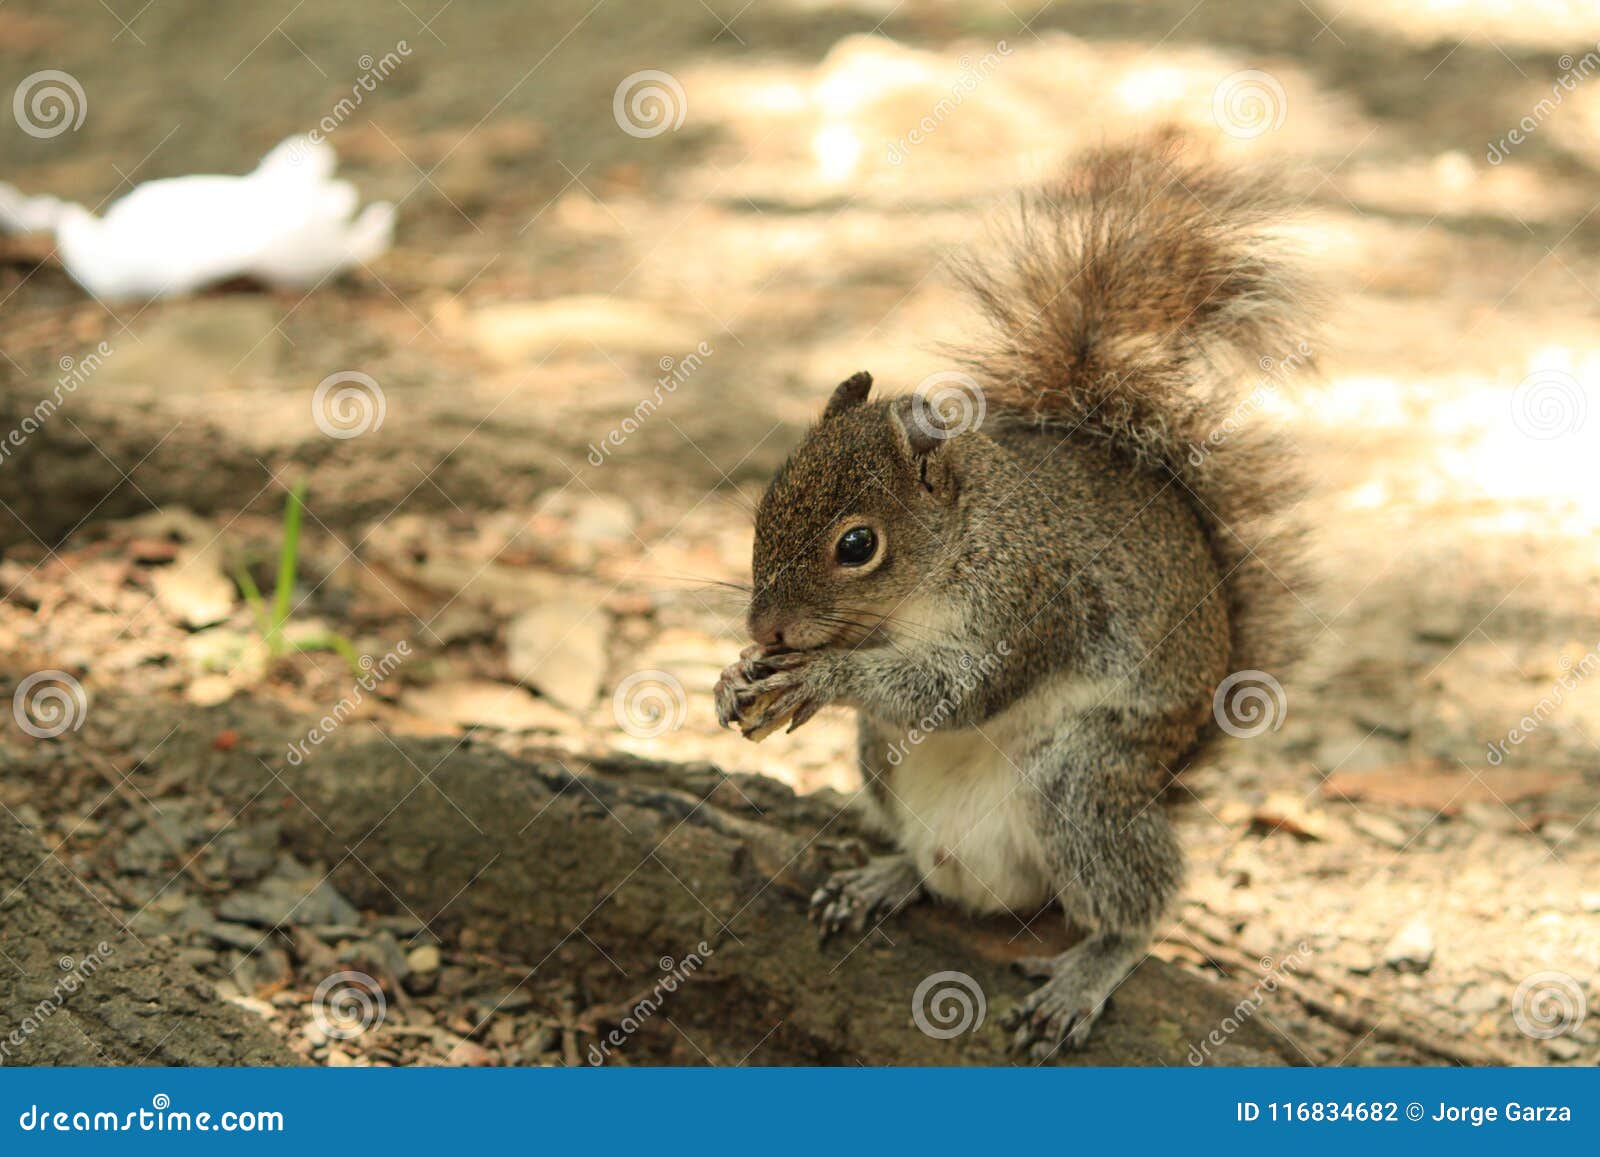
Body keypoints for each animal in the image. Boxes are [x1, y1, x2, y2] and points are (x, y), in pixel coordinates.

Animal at [714, 134, 1317, 1059]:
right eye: (764, 505)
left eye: (857, 545)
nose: (766, 625)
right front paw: (736, 675)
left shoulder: (1034, 602)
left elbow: (956, 692)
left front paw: (817, 677)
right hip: (882, 760)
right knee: (933, 868)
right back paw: (886, 878)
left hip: (1083, 784)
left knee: (1139, 899)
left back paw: (1086, 974)